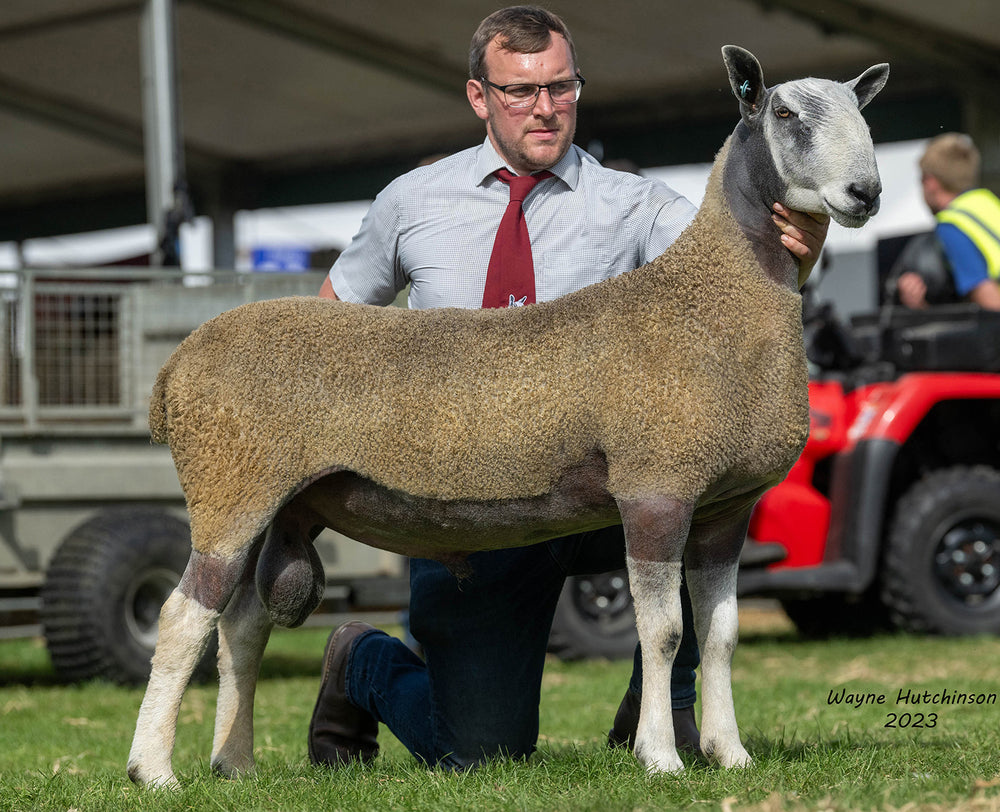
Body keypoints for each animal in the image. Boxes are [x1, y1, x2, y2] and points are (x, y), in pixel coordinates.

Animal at [127, 46, 888, 787]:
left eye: (860, 110)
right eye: (784, 113)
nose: (867, 193)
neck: (719, 298)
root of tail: (174, 371)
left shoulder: (726, 507)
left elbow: (720, 633)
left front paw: (729, 755)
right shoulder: (656, 487)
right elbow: (665, 632)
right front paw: (661, 758)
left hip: (290, 501)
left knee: (241, 625)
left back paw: (235, 763)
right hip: (232, 484)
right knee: (182, 618)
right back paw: (153, 770)